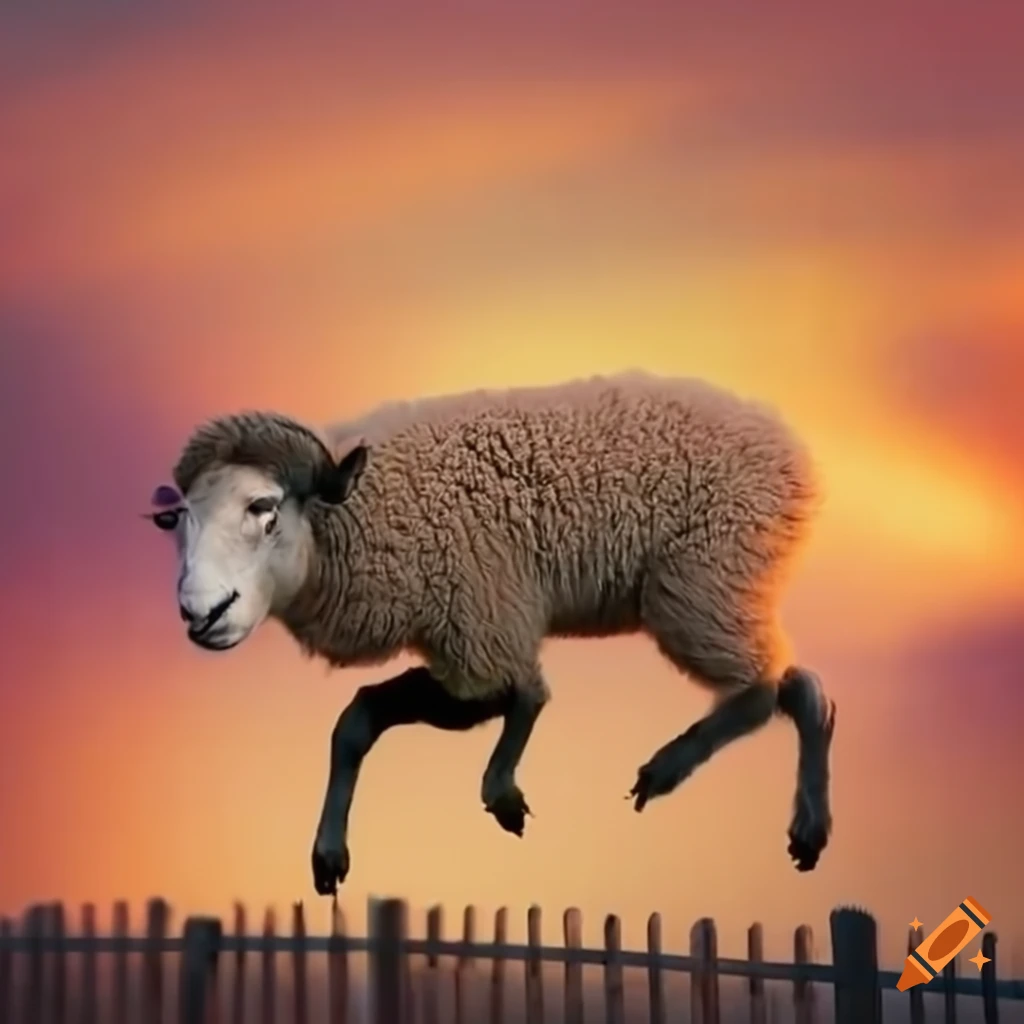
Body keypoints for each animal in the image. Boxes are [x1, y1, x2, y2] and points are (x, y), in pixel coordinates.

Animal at [149, 371, 836, 896]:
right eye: (179, 519)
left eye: (263, 508)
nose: (200, 613)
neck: (355, 519)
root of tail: (794, 456)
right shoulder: (470, 637)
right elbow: (360, 720)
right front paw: (328, 855)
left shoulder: (481, 628)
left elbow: (518, 698)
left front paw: (502, 789)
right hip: (718, 594)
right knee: (803, 690)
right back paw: (809, 830)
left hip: (697, 585)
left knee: (761, 690)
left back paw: (664, 771)